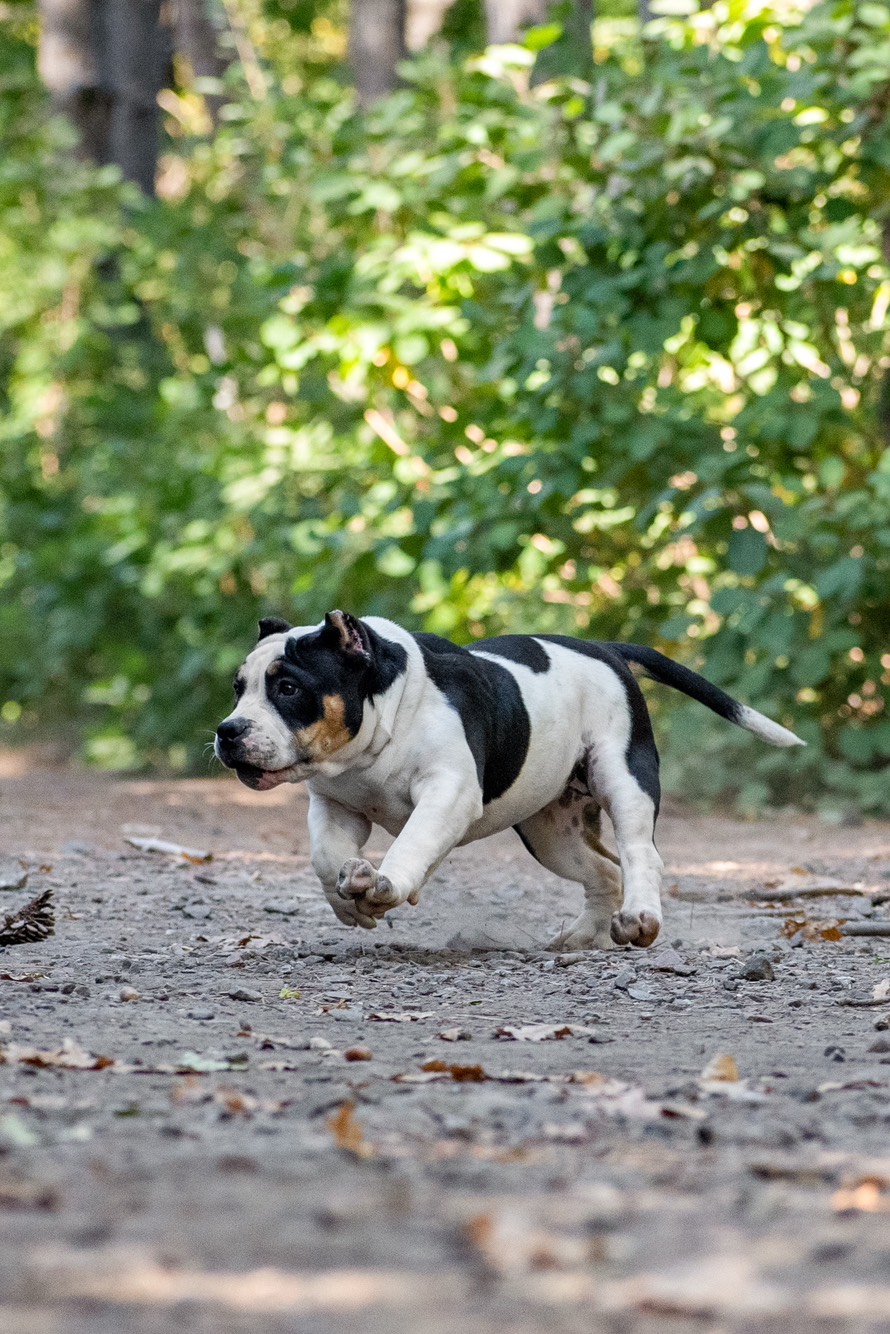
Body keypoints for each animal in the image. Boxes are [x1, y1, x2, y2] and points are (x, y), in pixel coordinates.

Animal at [212, 610, 805, 955]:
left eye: (288, 687)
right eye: (239, 688)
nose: (228, 731)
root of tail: (606, 649)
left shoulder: (448, 793)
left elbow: (414, 839)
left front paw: (386, 883)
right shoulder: (334, 806)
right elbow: (325, 857)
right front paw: (351, 901)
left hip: (623, 776)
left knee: (640, 855)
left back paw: (640, 918)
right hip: (551, 830)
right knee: (602, 871)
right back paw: (583, 936)